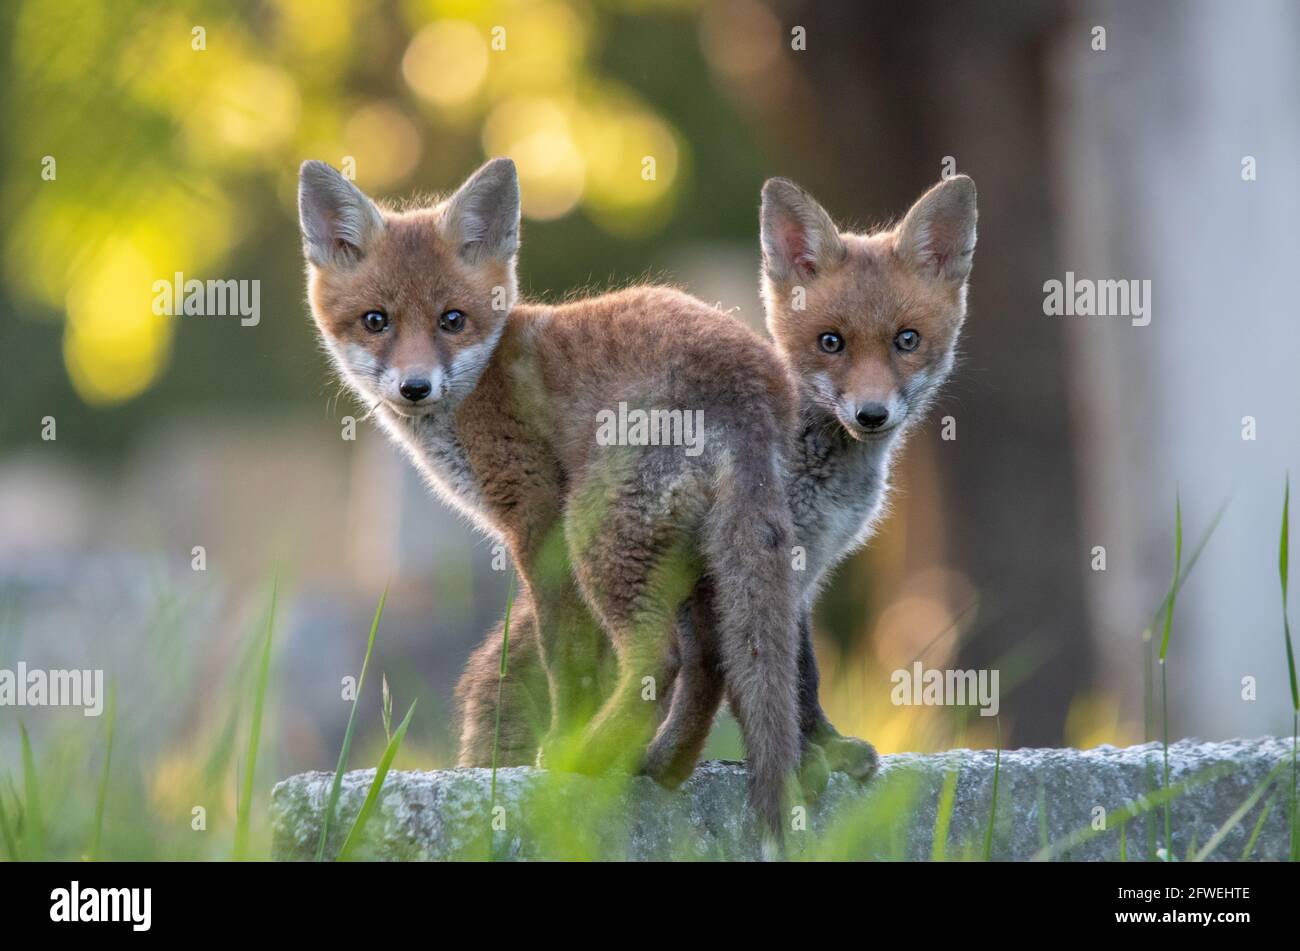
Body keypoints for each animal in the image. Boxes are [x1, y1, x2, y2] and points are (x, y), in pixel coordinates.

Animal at [298, 157, 806, 839]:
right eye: (376, 321)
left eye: (452, 320)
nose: (414, 387)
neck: (479, 385)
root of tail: (747, 384)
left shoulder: (534, 519)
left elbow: (567, 658)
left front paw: (561, 744)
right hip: (695, 556)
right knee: (710, 665)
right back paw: (661, 766)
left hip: (598, 536)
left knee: (661, 658)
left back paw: (587, 758)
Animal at [457, 173, 978, 792]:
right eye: (831, 343)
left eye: (907, 340)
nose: (871, 415)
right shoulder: (769, 564)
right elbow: (784, 676)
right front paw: (804, 760)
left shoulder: (804, 574)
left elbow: (798, 675)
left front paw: (823, 747)